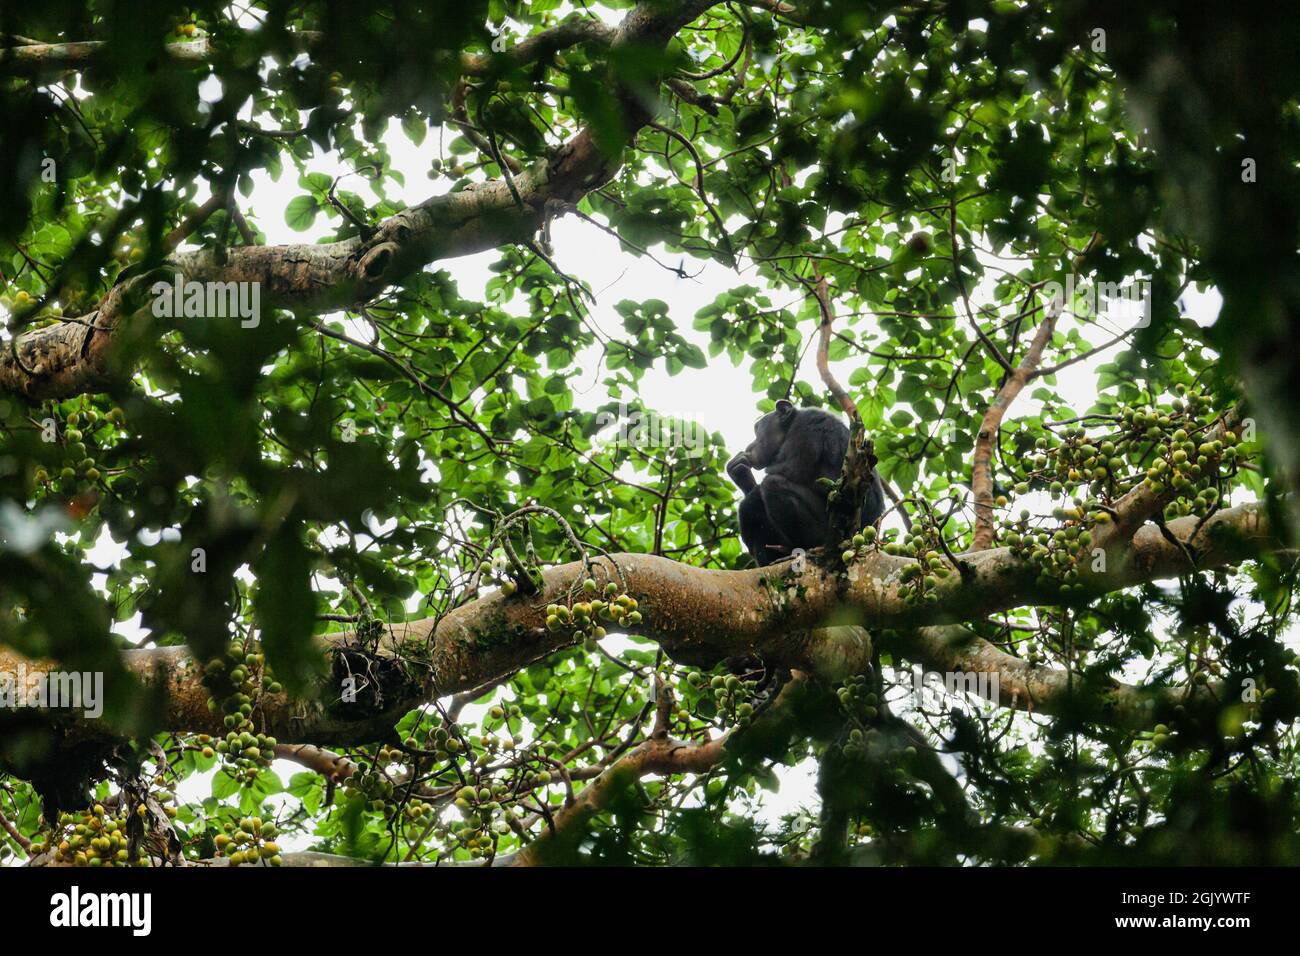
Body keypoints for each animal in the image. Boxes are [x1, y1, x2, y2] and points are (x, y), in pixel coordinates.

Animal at [726, 399, 885, 567]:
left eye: (757, 431)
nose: (751, 445)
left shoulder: (806, 430)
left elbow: (786, 472)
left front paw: (741, 474)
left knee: (772, 484)